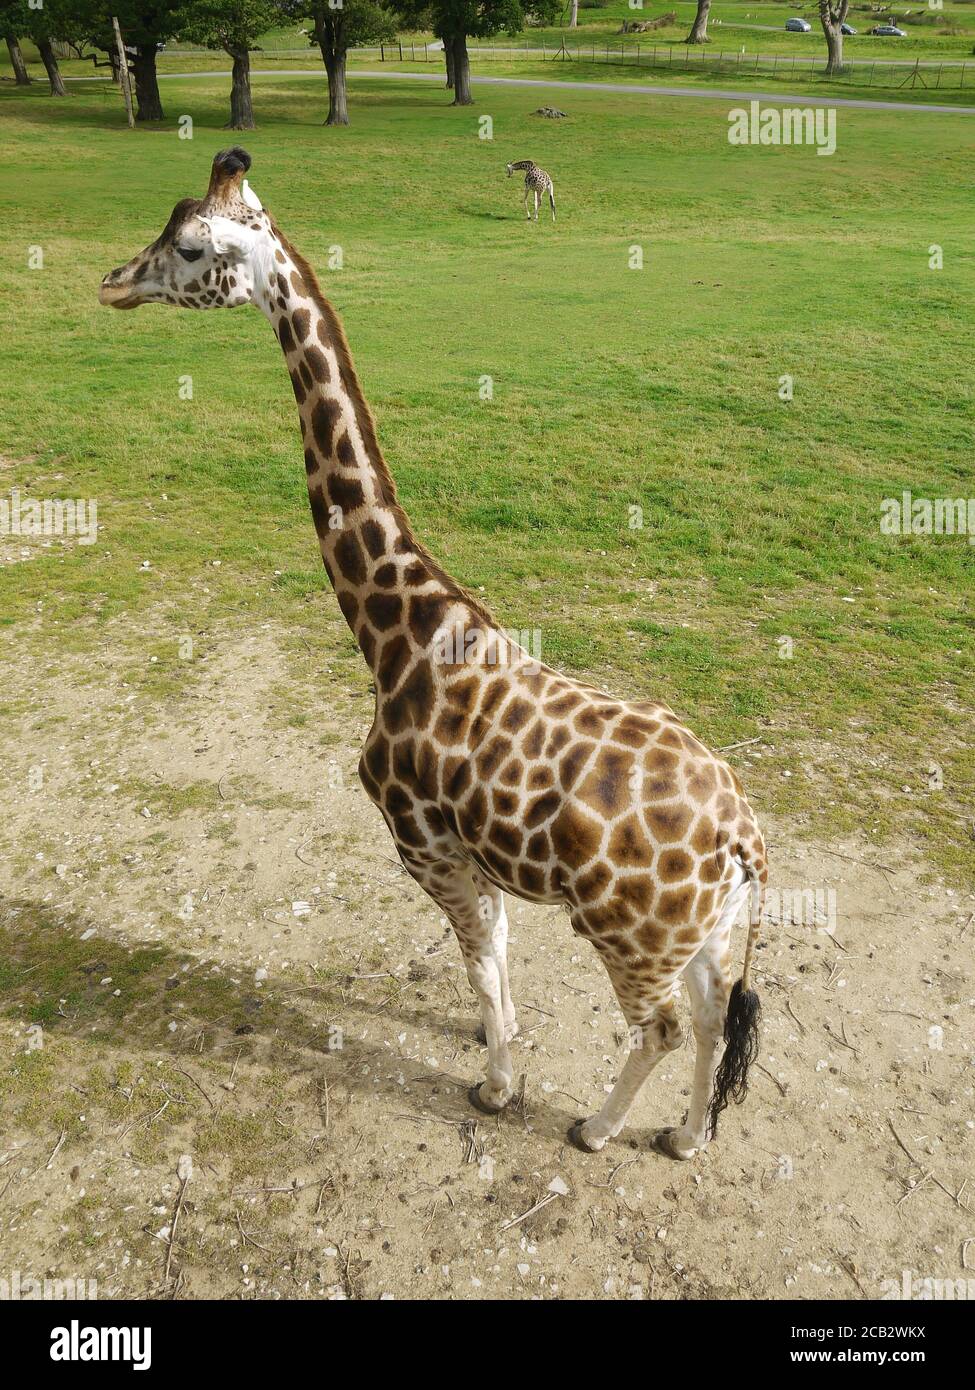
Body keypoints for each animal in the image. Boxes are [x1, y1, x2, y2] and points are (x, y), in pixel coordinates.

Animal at [99, 148, 768, 1160]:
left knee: (657, 1026)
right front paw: (496, 1048)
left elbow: (480, 967)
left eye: (185, 247)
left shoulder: (427, 848)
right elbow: (494, 967)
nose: (111, 282)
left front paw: (495, 1086)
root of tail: (743, 838)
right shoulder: (473, 863)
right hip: (698, 933)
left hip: (628, 936)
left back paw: (595, 1127)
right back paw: (684, 1138)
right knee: (709, 1015)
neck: (395, 634)